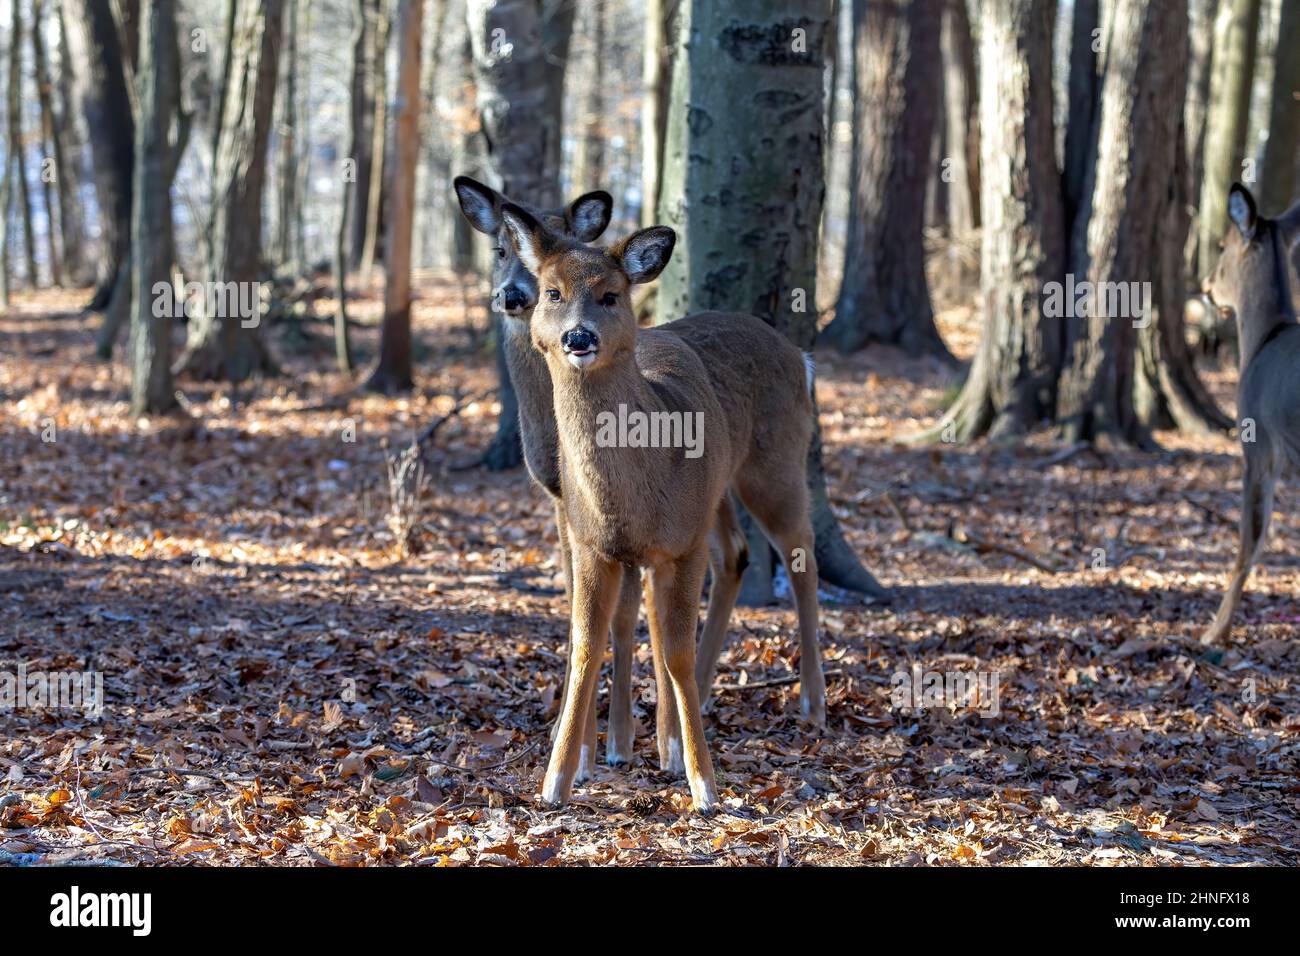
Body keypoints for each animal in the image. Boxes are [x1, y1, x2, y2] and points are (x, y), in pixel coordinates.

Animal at [454, 177, 830, 781]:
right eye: (500, 251)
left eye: (611, 294)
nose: (513, 295)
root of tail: (801, 355)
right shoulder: (567, 507)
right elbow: (600, 611)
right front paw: (596, 740)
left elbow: (625, 614)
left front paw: (614, 743)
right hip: (720, 491)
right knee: (735, 554)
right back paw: (699, 695)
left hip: (776, 463)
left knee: (800, 553)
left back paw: (811, 703)